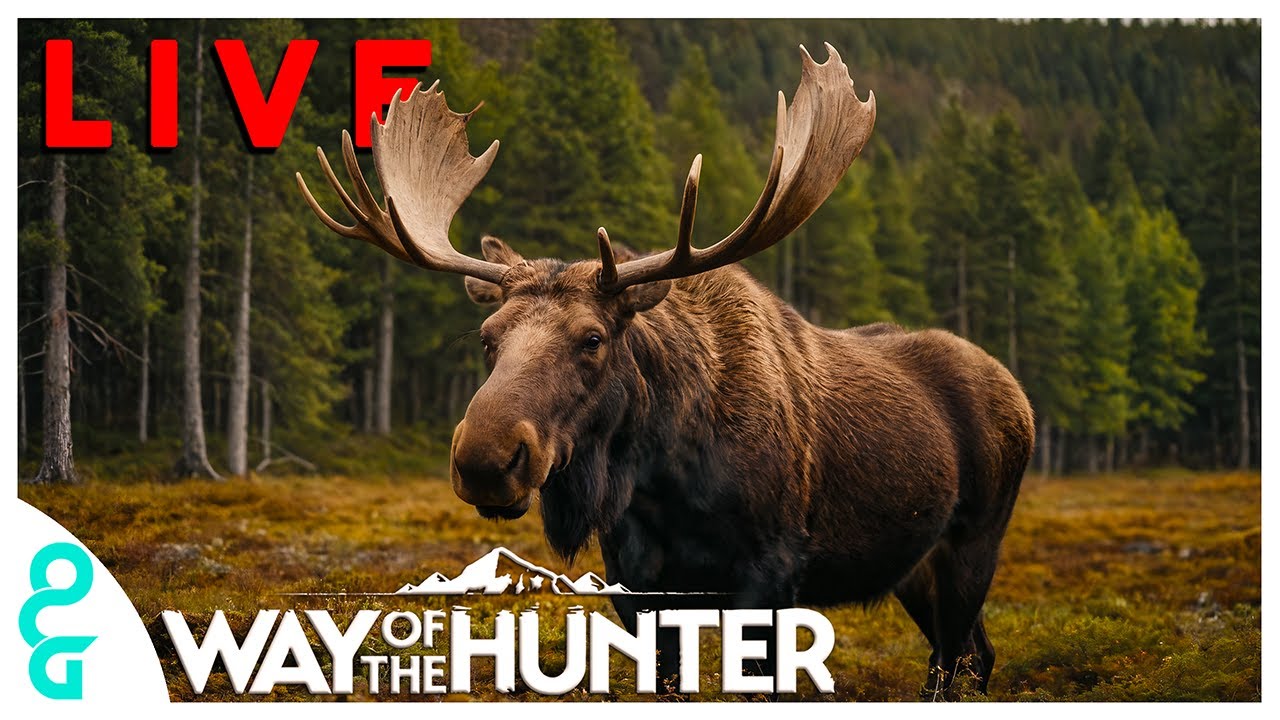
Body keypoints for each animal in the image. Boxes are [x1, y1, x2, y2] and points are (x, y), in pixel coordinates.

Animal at [297, 43, 1035, 699]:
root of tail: (1020, 395)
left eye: (593, 338)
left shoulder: (774, 569)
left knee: (953, 659)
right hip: (914, 568)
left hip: (976, 541)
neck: (661, 478)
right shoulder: (636, 582)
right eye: (487, 338)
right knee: (977, 653)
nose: (485, 459)